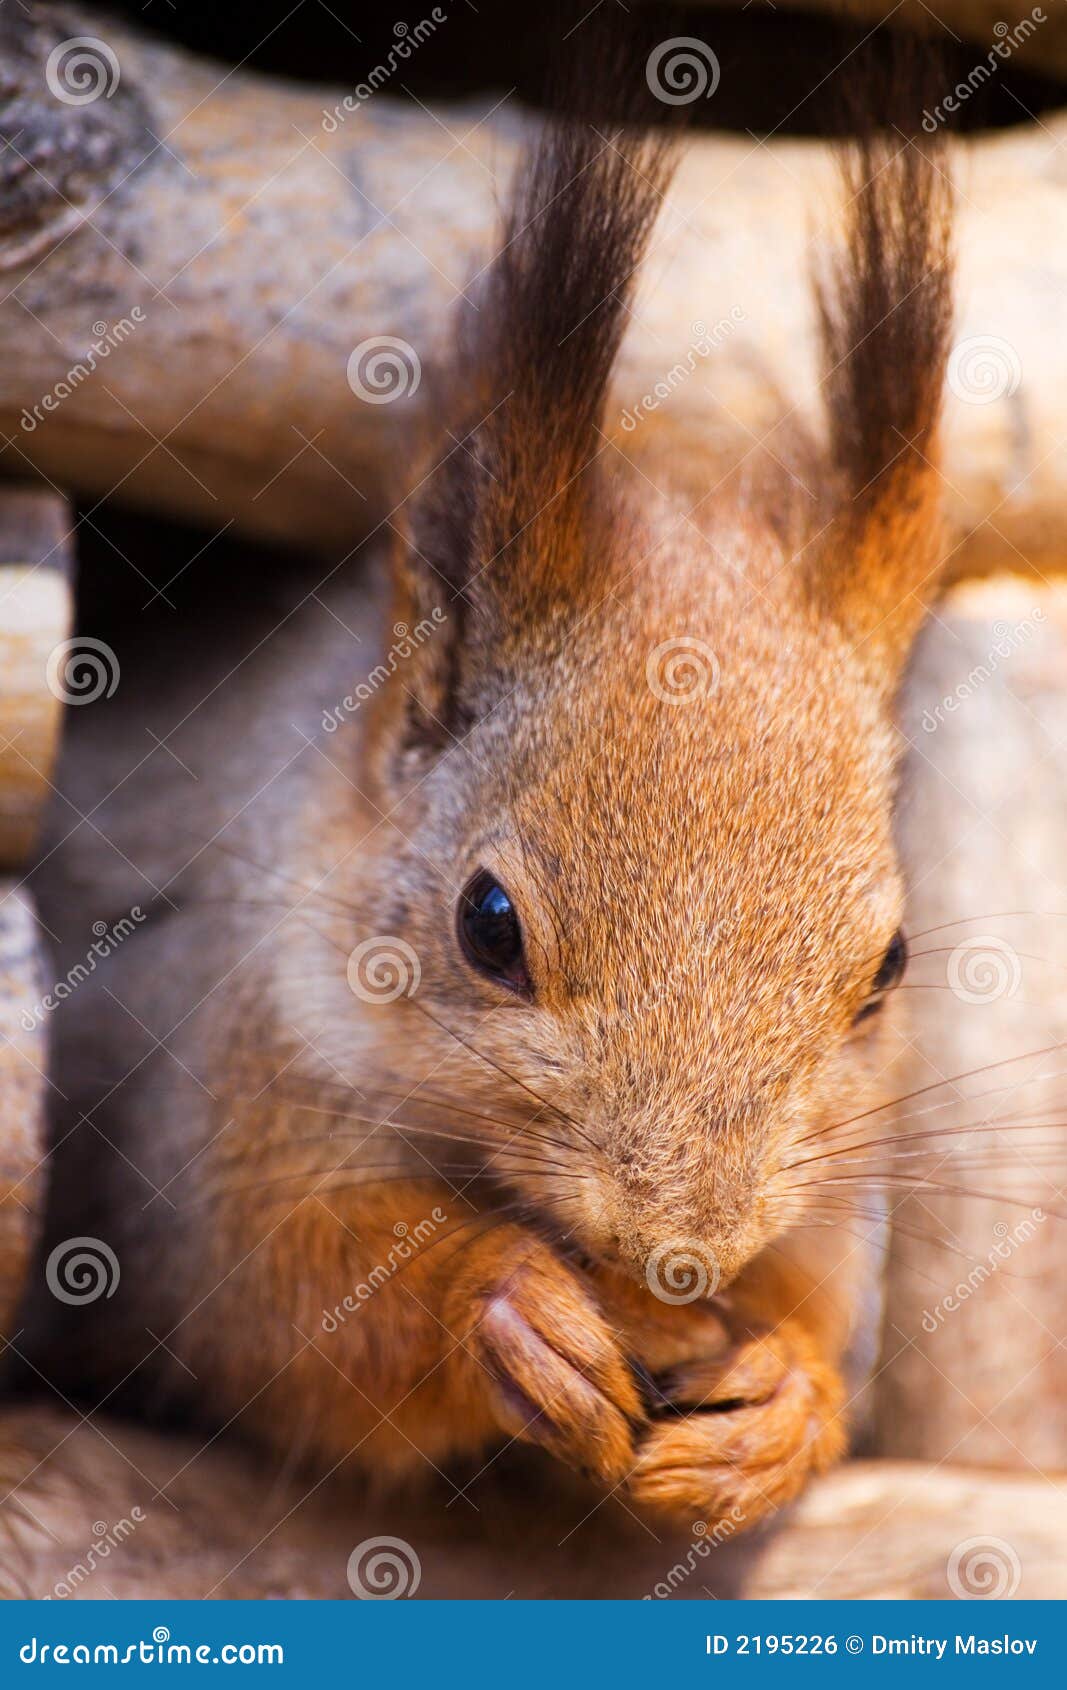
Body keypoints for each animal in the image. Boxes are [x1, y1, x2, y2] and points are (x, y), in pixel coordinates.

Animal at [21, 46, 953, 1538]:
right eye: (487, 926)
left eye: (887, 968)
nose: (676, 1247)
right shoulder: (201, 1090)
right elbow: (277, 1298)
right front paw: (506, 1303)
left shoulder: (835, 1184)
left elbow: (812, 1306)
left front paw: (784, 1402)